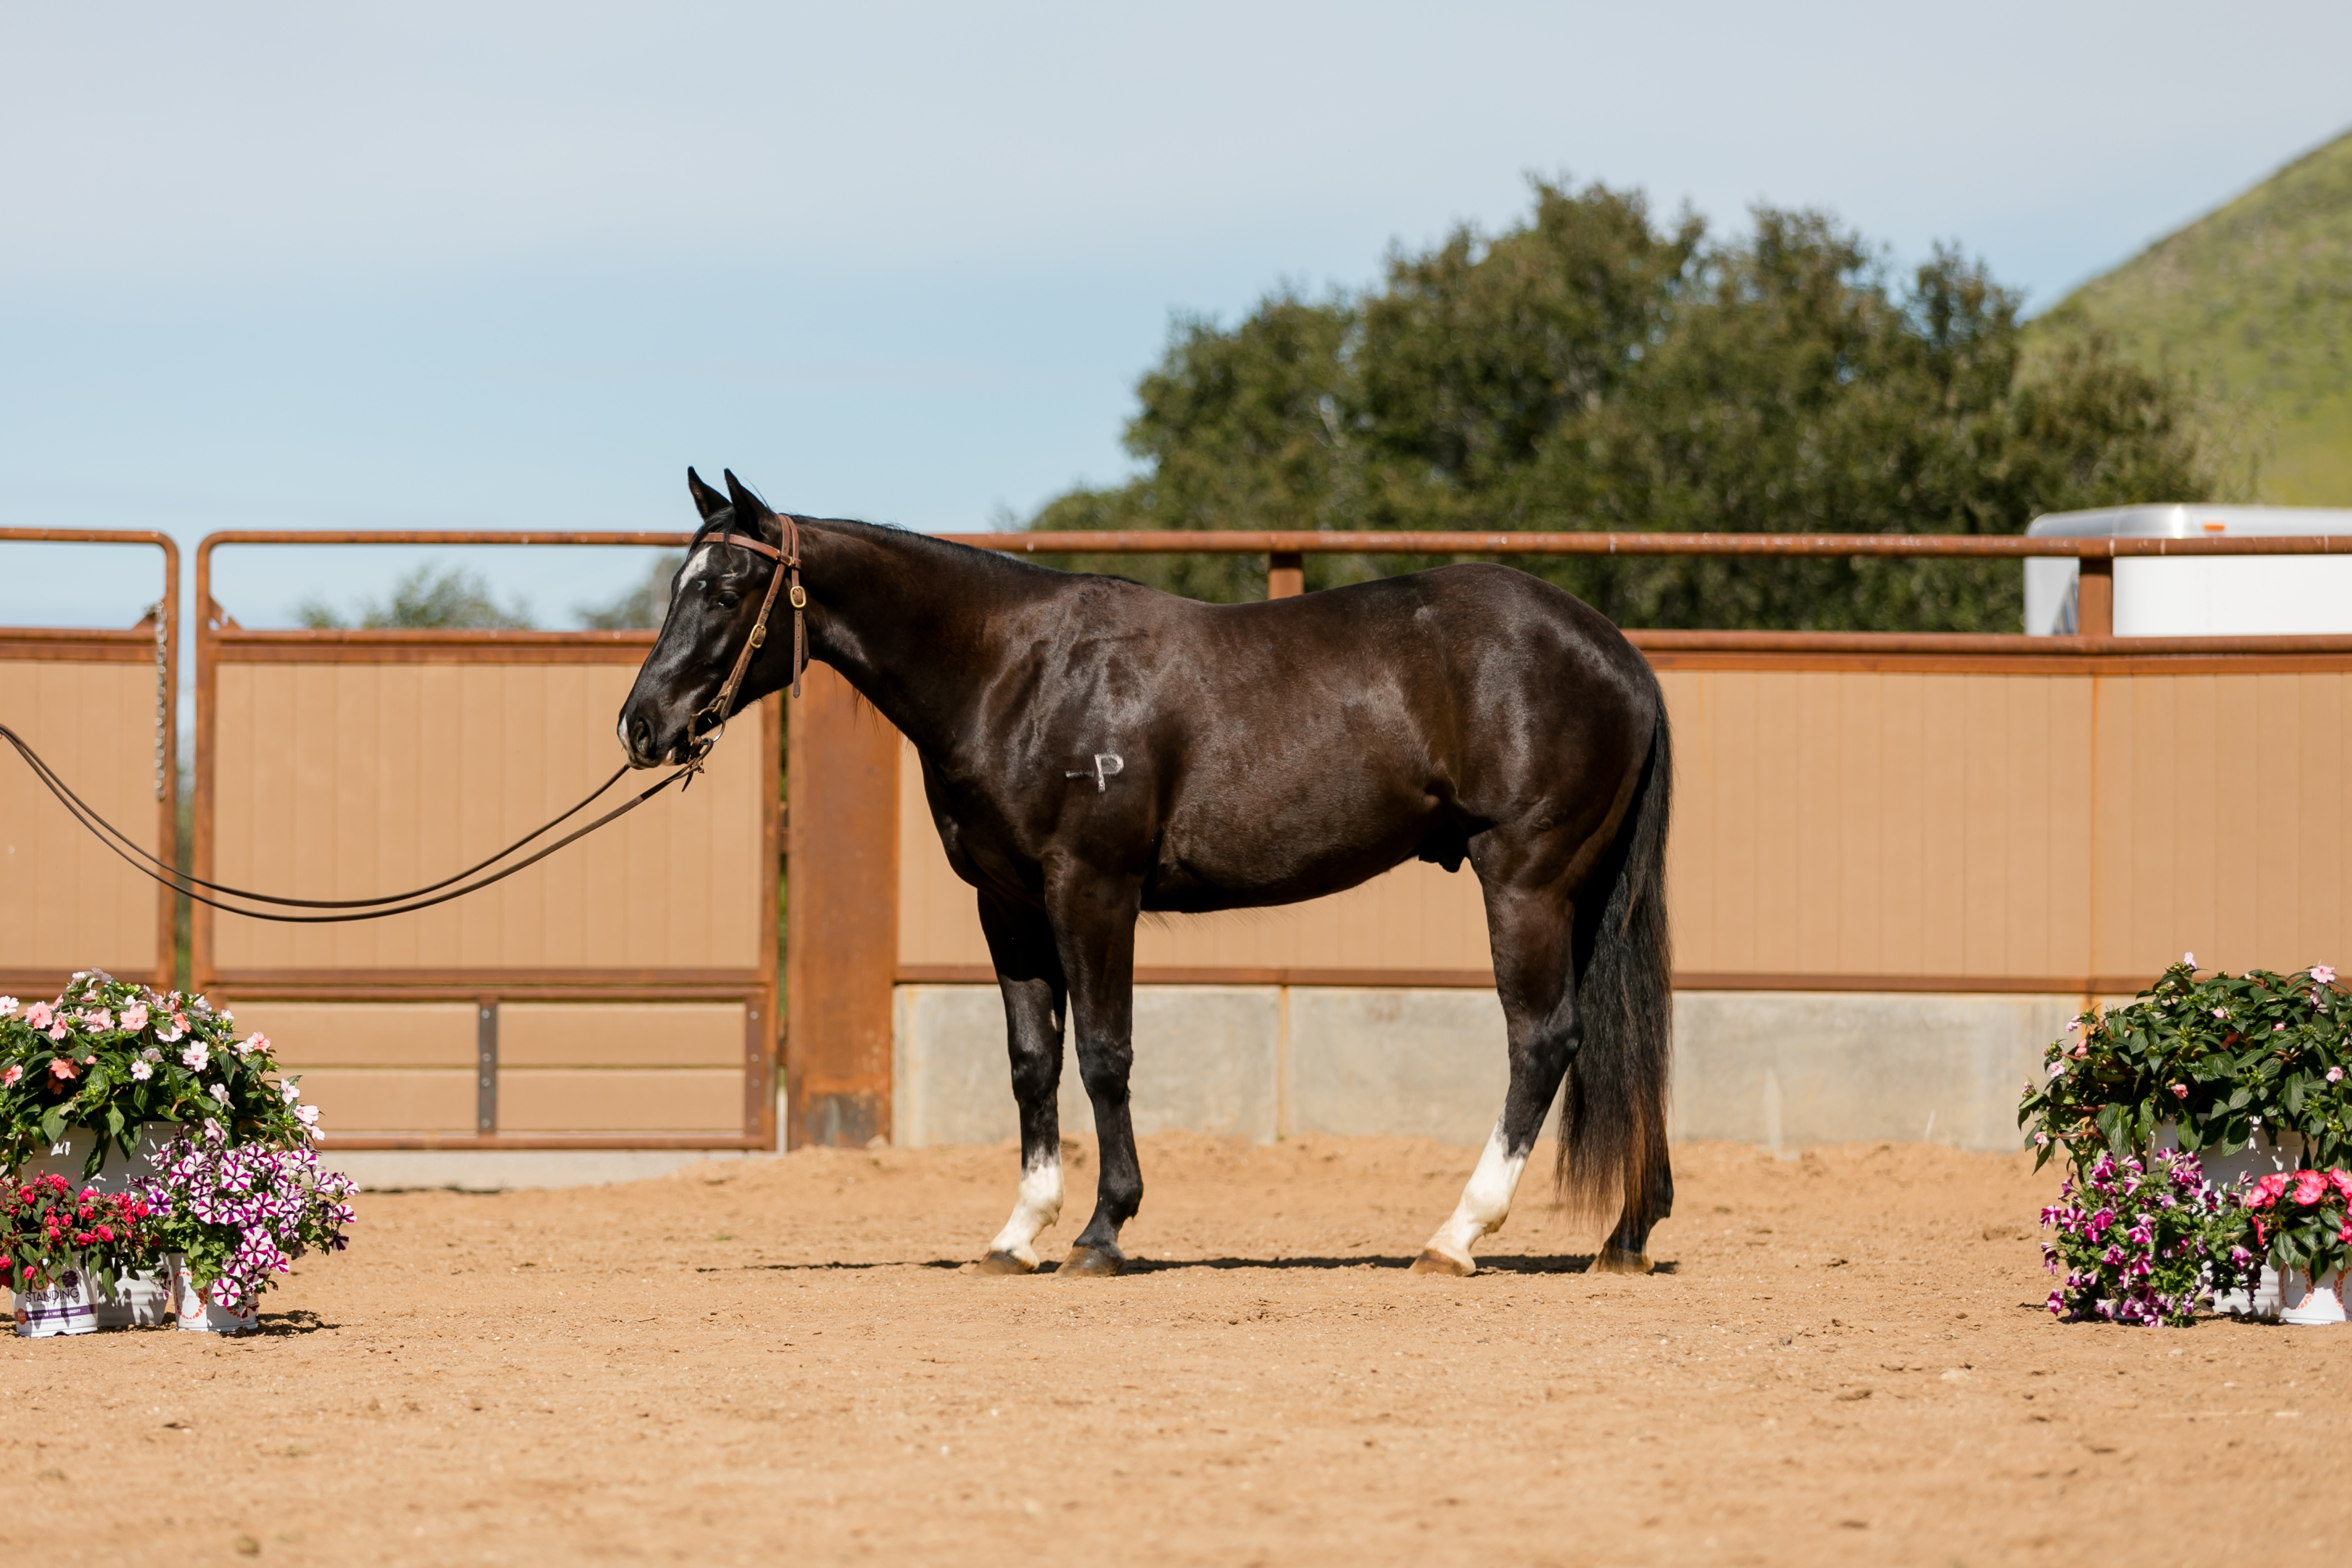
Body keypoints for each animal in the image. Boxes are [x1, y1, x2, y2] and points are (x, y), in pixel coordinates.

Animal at [619, 469, 1674, 1277]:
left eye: (723, 592)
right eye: (677, 583)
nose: (641, 725)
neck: (1015, 674)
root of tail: (1618, 655)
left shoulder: (1092, 890)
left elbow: (1103, 1055)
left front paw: (1100, 1231)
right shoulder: (1008, 906)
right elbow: (1032, 1061)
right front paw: (1018, 1234)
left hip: (1525, 883)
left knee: (1542, 1039)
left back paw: (1455, 1236)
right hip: (1584, 893)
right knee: (1625, 1034)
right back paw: (1624, 1236)